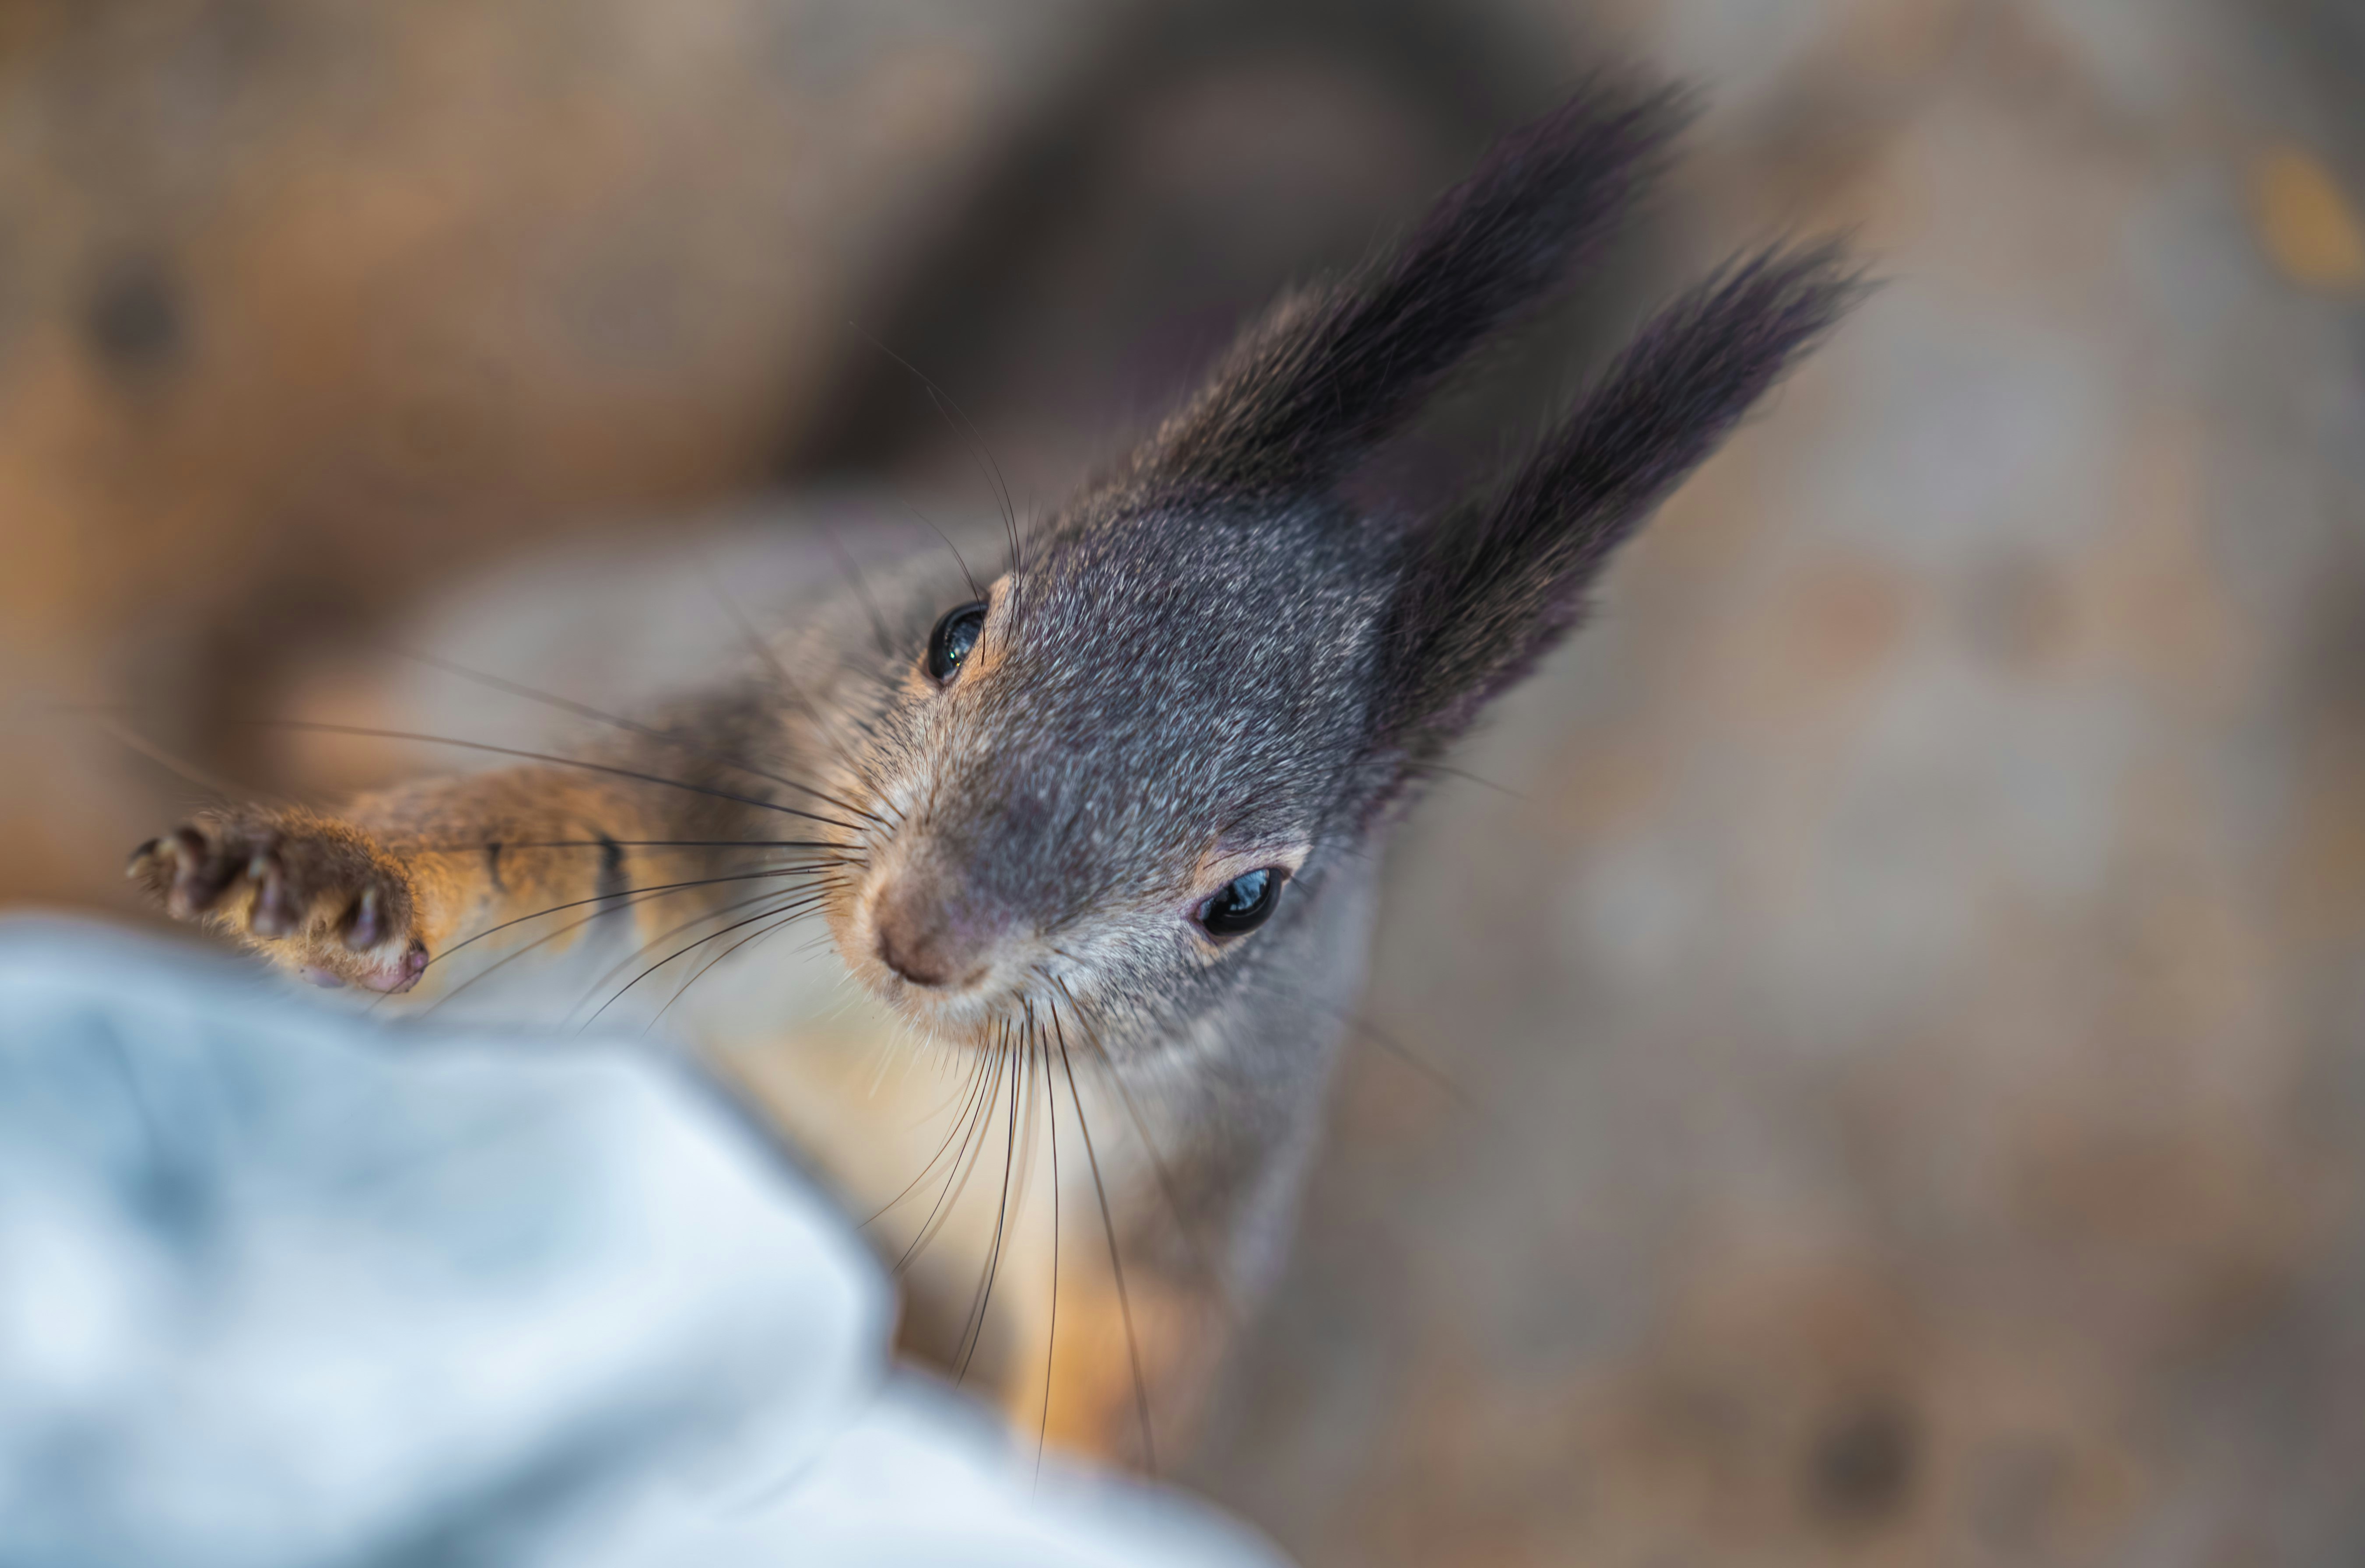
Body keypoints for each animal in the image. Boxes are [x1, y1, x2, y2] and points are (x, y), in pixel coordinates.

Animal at [129, 79, 1859, 1466]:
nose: (923, 928)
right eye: (956, 627)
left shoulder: (1193, 1176)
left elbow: (1127, 1366)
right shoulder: (741, 783)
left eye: (1247, 899)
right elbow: (554, 871)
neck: (893, 1043)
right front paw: (333, 886)